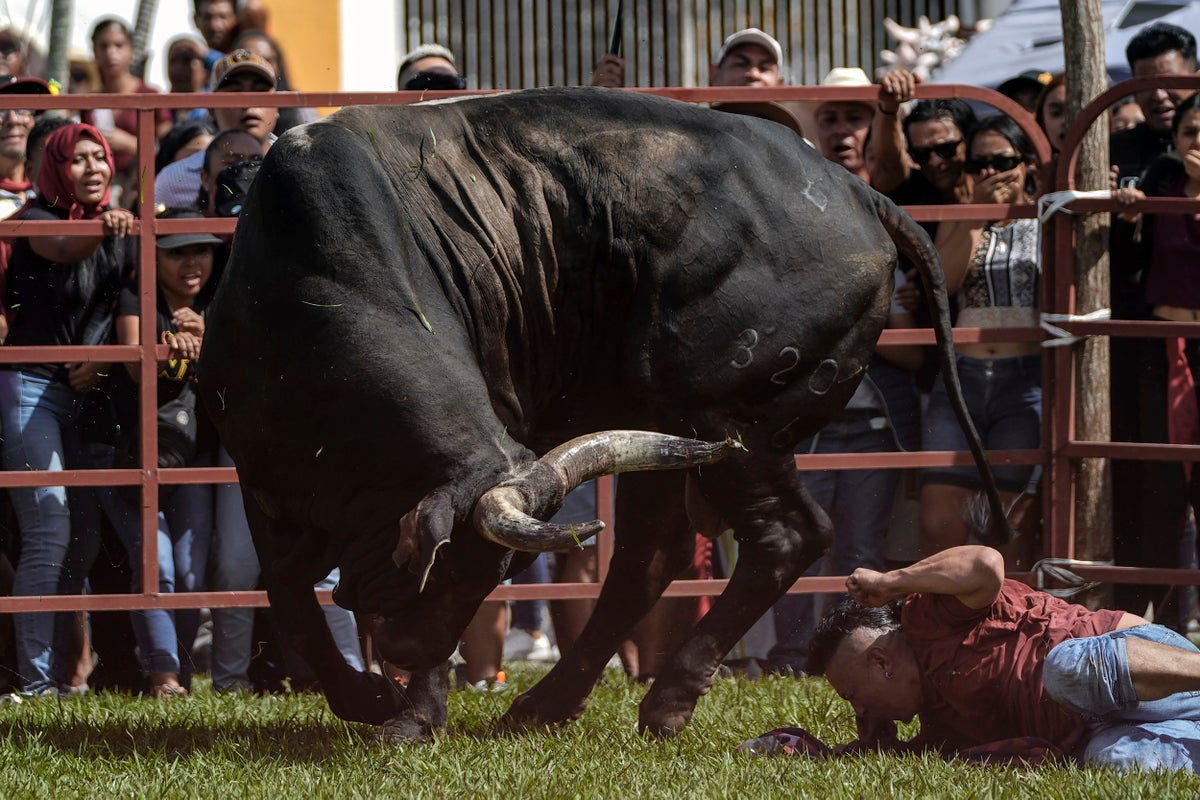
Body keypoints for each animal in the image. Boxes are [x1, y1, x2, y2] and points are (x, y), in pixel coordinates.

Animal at [198, 87, 1011, 740]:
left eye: (489, 574)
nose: (403, 651)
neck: (316, 281)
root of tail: (854, 189)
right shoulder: (260, 477)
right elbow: (288, 594)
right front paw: (381, 701)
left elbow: (297, 598)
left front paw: (398, 709)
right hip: (666, 431)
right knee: (651, 558)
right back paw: (546, 704)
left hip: (735, 426)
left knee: (783, 536)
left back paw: (665, 701)